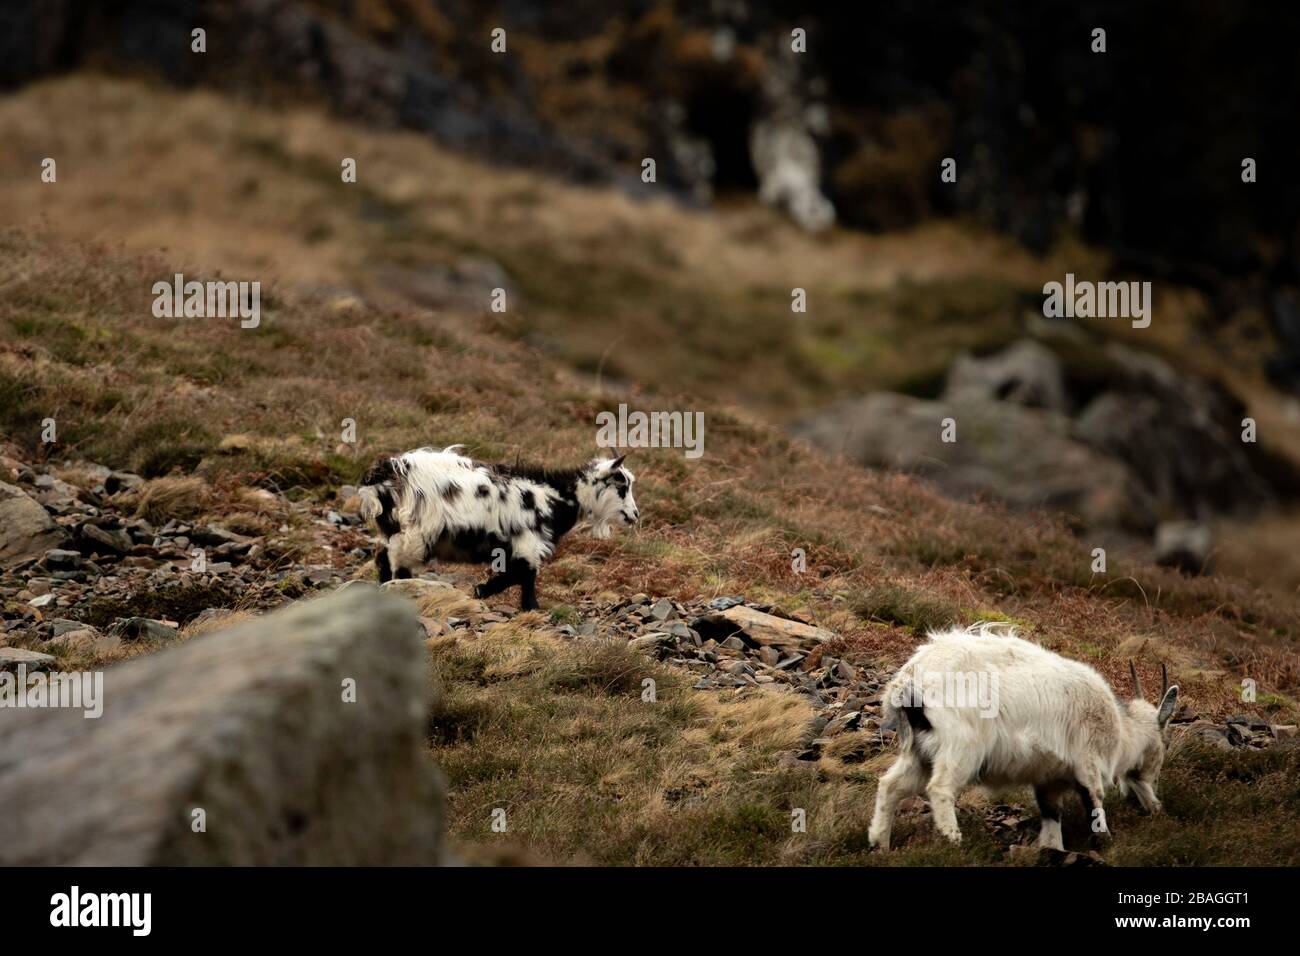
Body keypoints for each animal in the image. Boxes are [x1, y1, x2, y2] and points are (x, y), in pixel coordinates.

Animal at [358, 446, 639, 610]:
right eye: (621, 485)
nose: (634, 516)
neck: (554, 497)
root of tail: (385, 474)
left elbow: (522, 575)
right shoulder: (526, 542)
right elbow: (523, 574)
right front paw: (489, 592)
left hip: (395, 529)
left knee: (382, 558)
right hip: (415, 533)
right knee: (398, 567)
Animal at [868, 624, 1178, 852]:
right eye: (1165, 743)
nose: (1156, 806)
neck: (1121, 732)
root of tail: (908, 681)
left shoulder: (1048, 779)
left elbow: (1052, 820)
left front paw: (1053, 850)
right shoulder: (1087, 765)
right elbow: (1095, 805)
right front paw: (1105, 841)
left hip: (918, 749)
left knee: (891, 785)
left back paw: (879, 844)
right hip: (961, 745)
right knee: (940, 788)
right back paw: (953, 841)